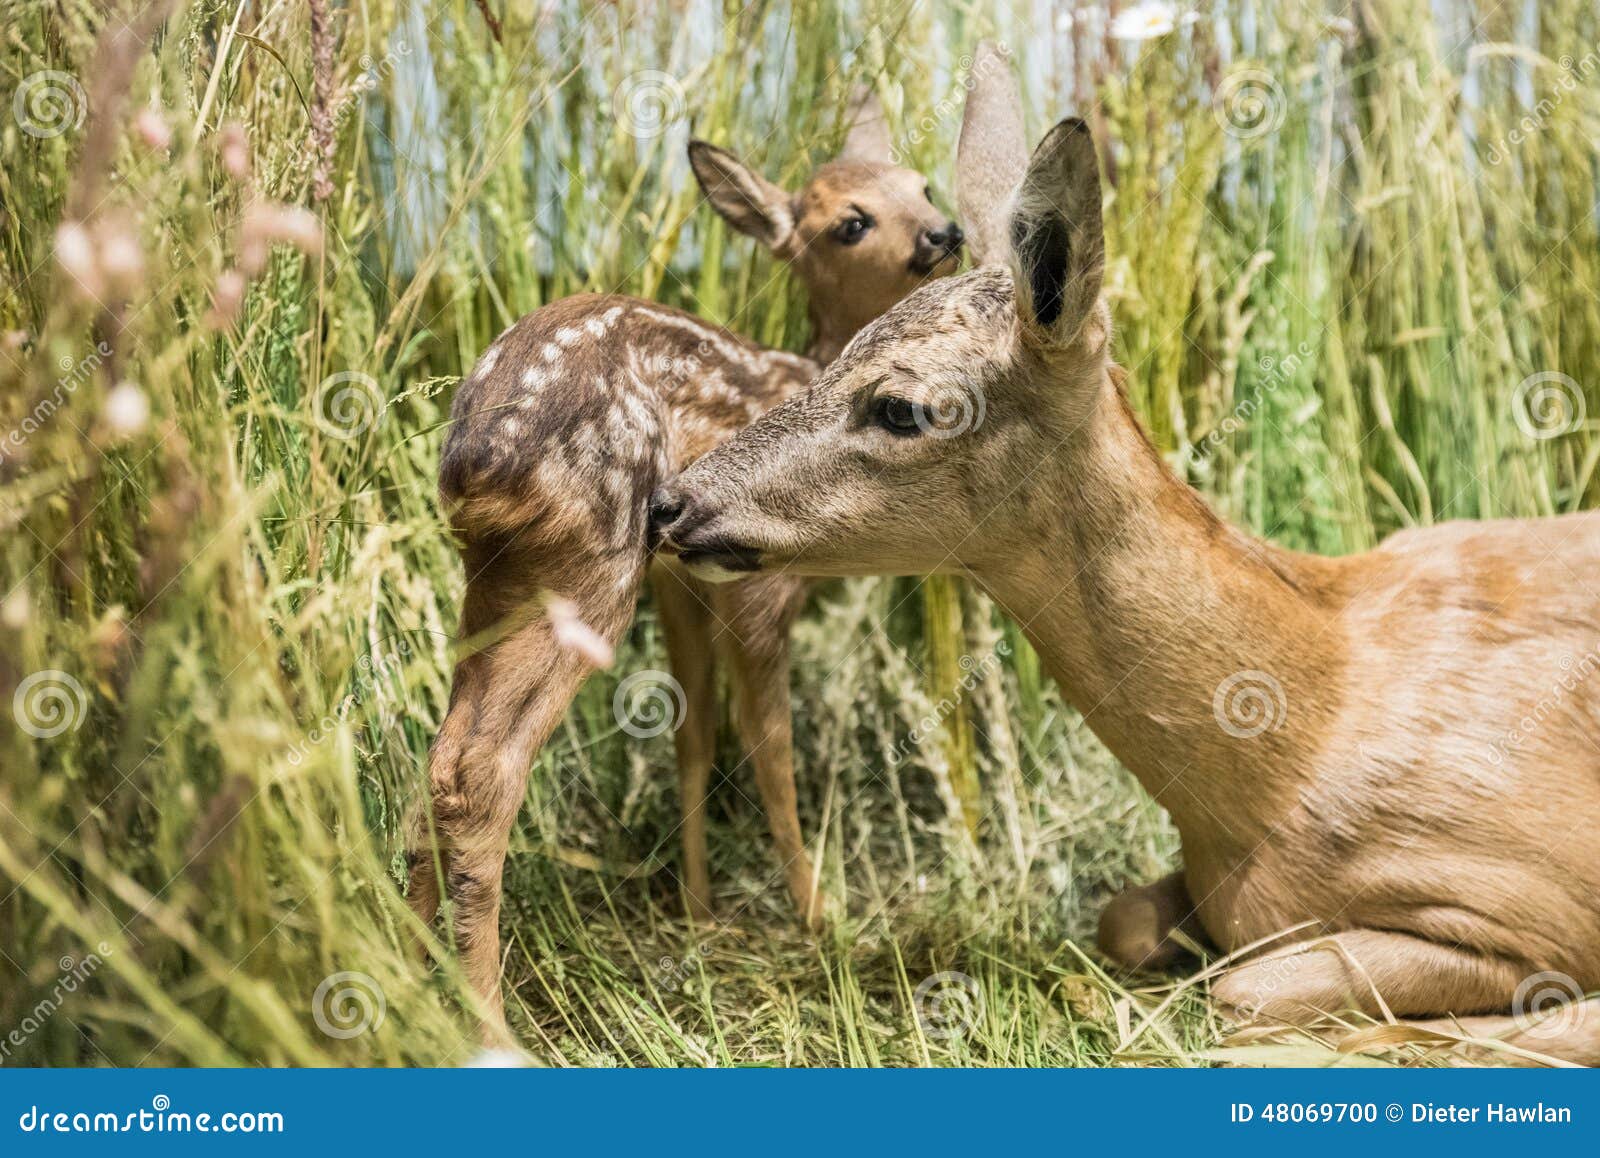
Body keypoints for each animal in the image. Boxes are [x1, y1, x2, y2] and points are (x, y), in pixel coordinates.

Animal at [412, 102, 965, 1022]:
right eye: (850, 223)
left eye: (920, 184)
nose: (944, 232)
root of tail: (476, 460)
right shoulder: (763, 587)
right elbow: (769, 745)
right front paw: (818, 917)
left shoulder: (682, 586)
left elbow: (694, 732)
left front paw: (701, 909)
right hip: (592, 568)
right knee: (483, 771)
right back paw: (486, 1010)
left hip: (499, 580)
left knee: (442, 752)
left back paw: (406, 954)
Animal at [652, 43, 1600, 1064]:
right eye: (837, 350)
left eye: (902, 406)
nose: (672, 501)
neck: (1290, 753)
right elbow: (1128, 921)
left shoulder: (1530, 906)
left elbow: (1249, 990)